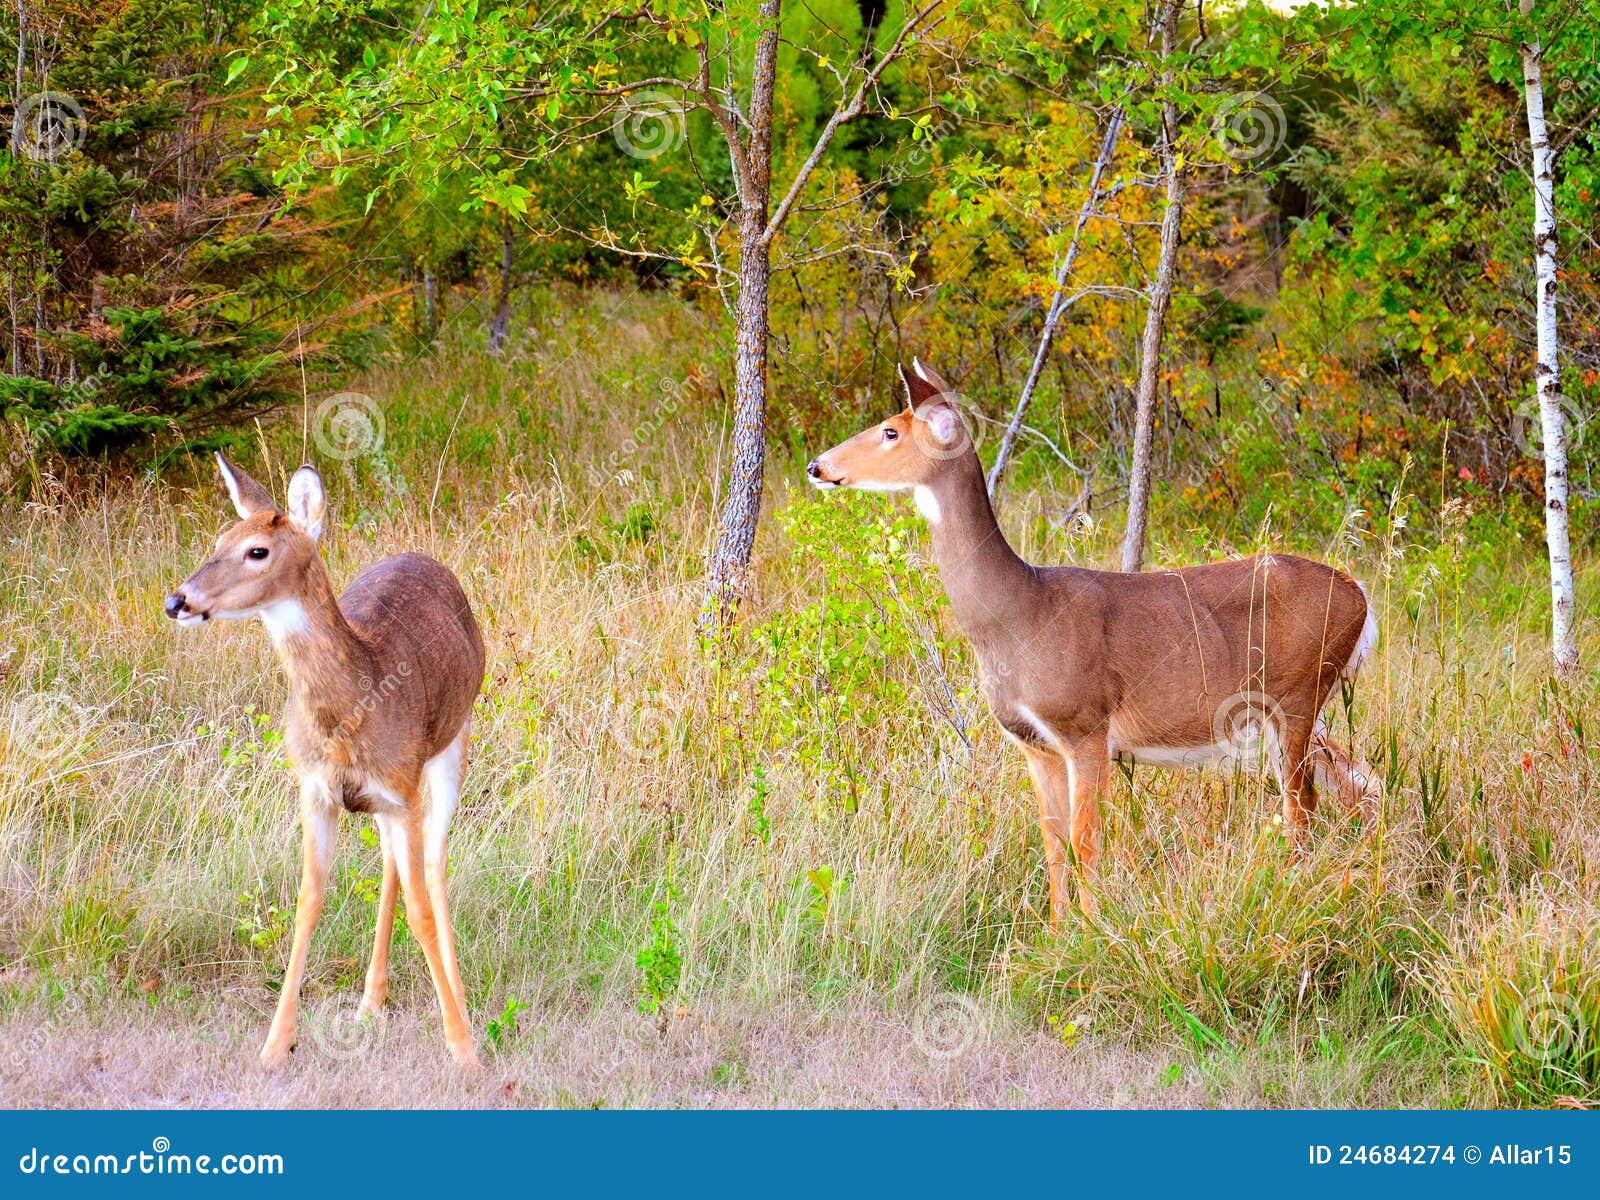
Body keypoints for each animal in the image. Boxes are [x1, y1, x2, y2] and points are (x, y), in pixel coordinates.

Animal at [165, 455, 486, 1069]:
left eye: (258, 550)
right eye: (219, 540)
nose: (178, 601)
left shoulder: (400, 785)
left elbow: (421, 910)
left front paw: (463, 1049)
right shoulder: (315, 789)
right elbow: (308, 901)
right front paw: (275, 1043)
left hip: (450, 742)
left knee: (434, 862)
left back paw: (456, 997)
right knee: (393, 865)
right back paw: (371, 1001)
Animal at [806, 361, 1380, 921]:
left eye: (890, 431)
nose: (817, 466)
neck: (1018, 615)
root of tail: (1361, 597)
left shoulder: (1085, 724)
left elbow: (1086, 842)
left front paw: (1093, 933)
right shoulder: (1035, 745)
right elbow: (1053, 844)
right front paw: (1057, 933)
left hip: (1298, 694)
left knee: (1302, 808)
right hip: (1303, 709)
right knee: (1355, 787)